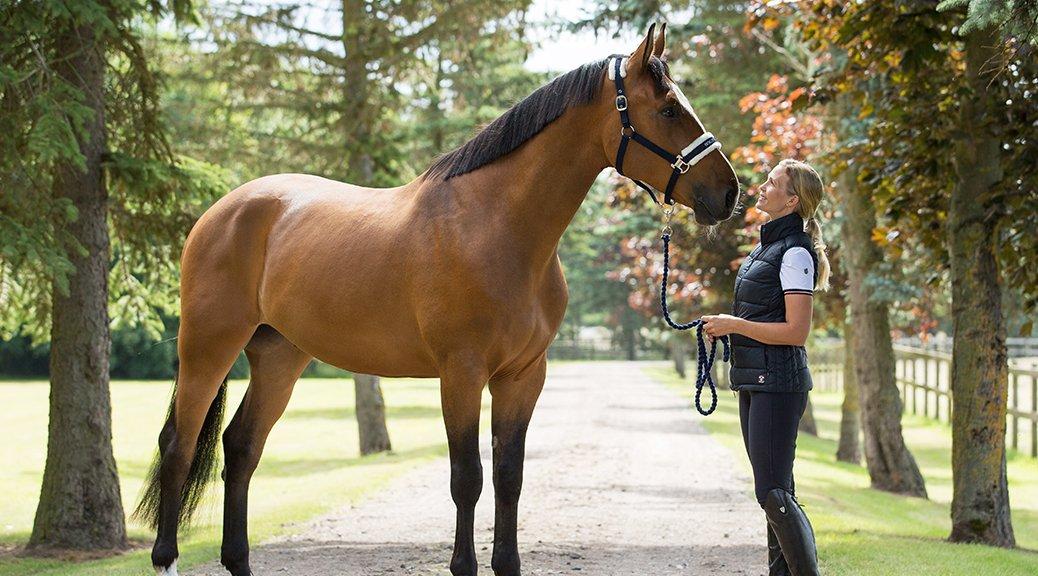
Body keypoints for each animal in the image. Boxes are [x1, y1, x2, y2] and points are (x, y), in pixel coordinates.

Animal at [135, 22, 739, 576]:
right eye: (668, 110)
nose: (728, 193)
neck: (496, 225)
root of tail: (222, 210)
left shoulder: (524, 375)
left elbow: (509, 477)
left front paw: (507, 563)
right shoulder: (462, 372)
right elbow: (467, 478)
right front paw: (464, 564)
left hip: (280, 355)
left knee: (240, 449)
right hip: (208, 347)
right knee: (177, 445)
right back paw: (165, 557)